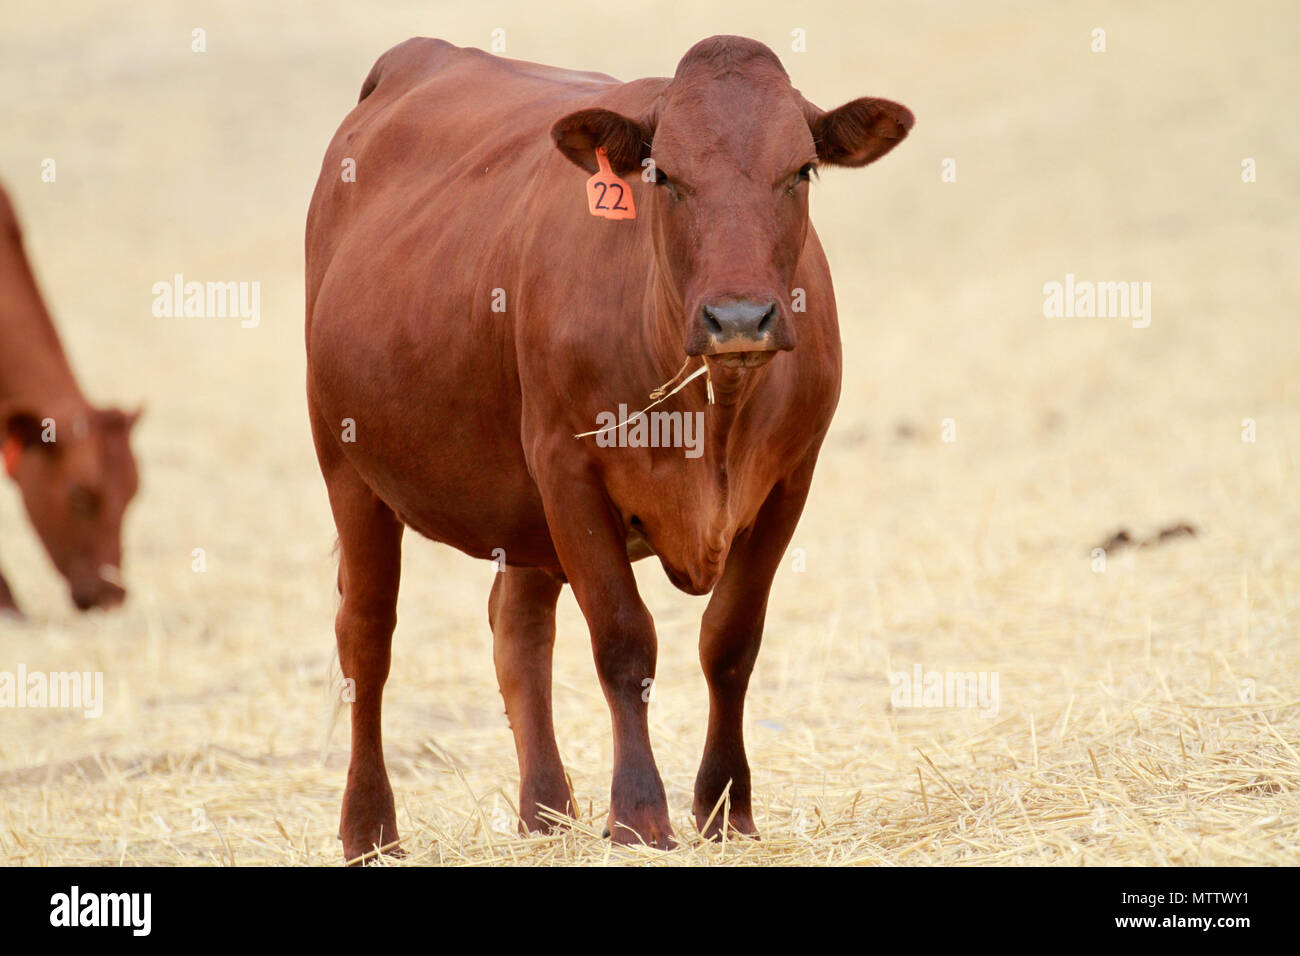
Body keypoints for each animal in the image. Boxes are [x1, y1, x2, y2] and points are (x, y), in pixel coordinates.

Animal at [306, 34, 912, 861]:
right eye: (664, 176)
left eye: (801, 171)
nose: (739, 318)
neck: (713, 411)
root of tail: (419, 54)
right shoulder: (571, 472)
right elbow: (625, 644)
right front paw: (638, 816)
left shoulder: (790, 480)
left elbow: (731, 641)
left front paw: (726, 808)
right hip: (349, 469)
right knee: (366, 639)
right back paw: (370, 828)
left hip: (519, 513)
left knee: (518, 631)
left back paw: (546, 812)